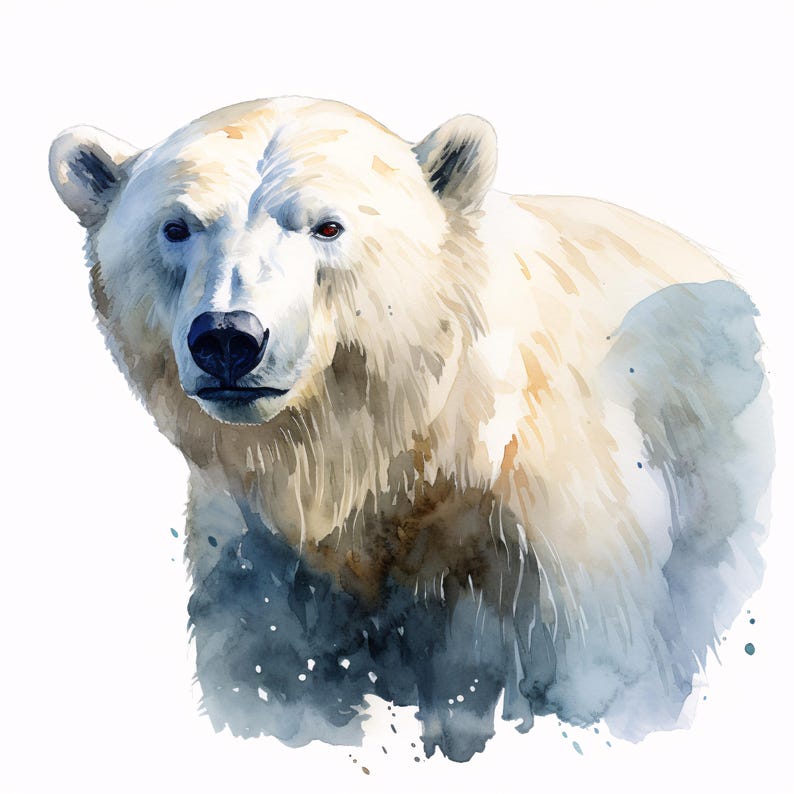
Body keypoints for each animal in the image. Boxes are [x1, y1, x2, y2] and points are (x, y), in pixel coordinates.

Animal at [50, 97, 772, 762]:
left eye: (327, 225)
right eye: (176, 227)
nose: (228, 337)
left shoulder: (557, 527)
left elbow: (595, 665)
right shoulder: (258, 548)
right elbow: (266, 672)